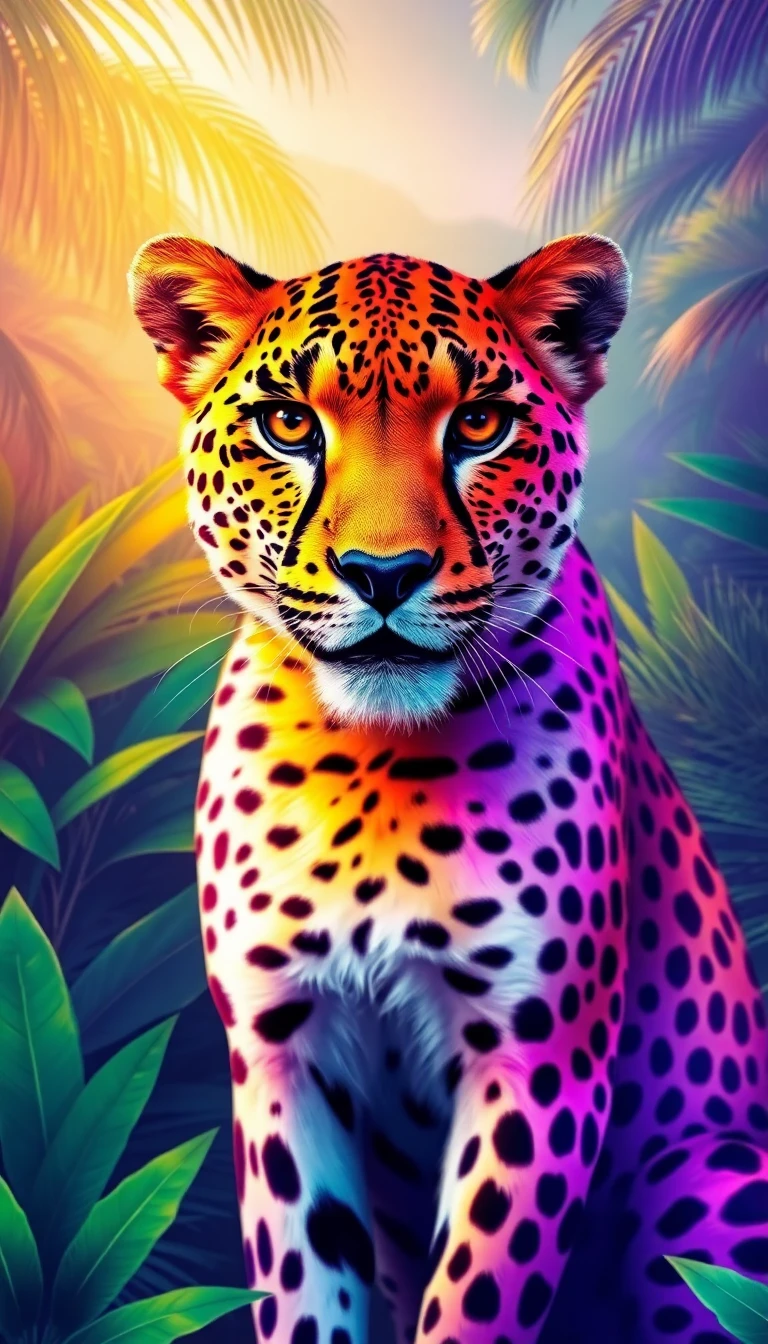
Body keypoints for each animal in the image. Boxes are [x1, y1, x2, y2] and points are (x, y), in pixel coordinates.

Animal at [130, 233, 768, 1344]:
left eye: (478, 423)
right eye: (288, 425)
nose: (383, 573)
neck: (369, 766)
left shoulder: (537, 1056)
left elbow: (477, 1296)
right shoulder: (280, 1046)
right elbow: (305, 1287)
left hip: (712, 1179)